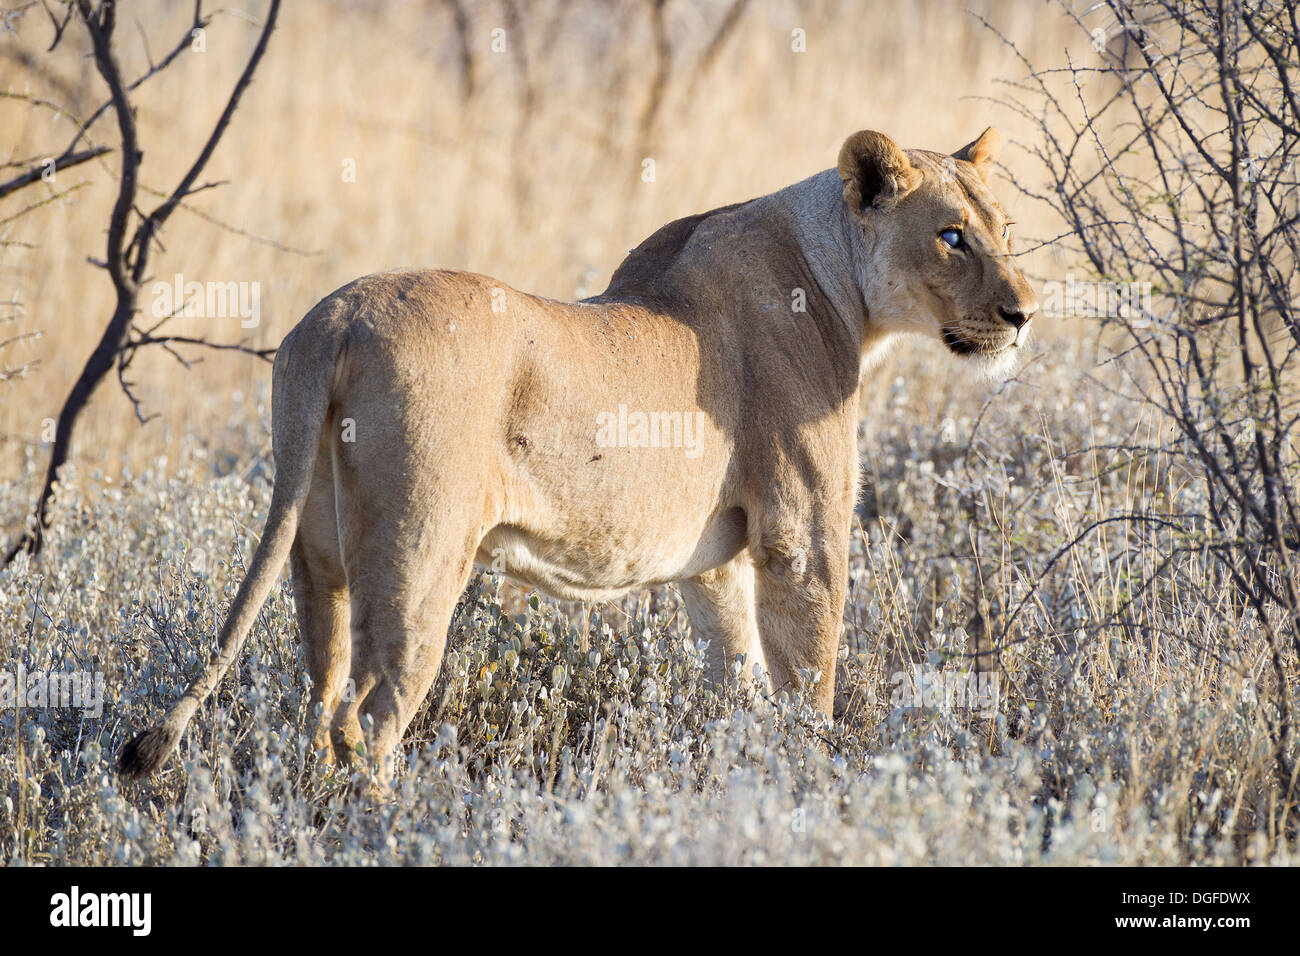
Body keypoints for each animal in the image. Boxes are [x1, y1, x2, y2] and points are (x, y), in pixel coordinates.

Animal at [119, 128, 1038, 783]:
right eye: (952, 236)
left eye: (1006, 229)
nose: (1024, 312)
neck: (840, 281)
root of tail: (334, 318)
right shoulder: (801, 536)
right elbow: (810, 684)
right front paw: (812, 784)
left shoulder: (715, 560)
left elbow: (737, 678)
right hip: (421, 554)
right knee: (366, 718)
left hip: (316, 556)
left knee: (313, 705)